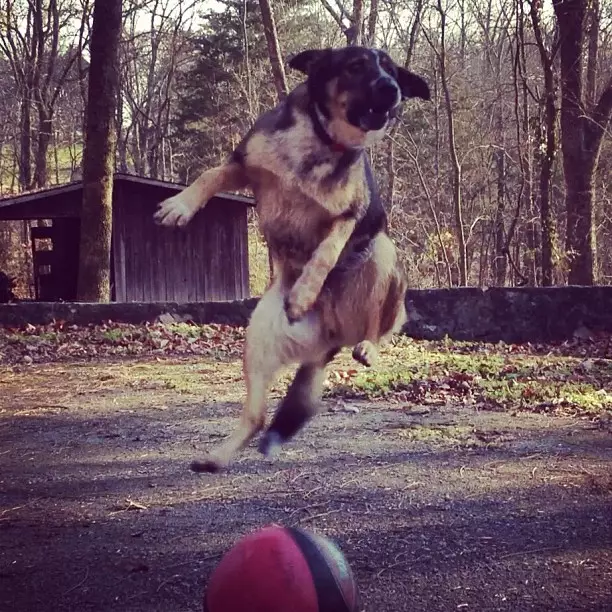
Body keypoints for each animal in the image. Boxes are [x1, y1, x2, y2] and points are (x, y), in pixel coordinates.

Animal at [153, 46, 430, 474]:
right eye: (356, 65)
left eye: (392, 70)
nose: (393, 89)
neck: (322, 139)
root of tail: (330, 339)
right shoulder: (242, 165)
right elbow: (209, 175)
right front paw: (181, 206)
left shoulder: (350, 217)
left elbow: (327, 251)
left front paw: (303, 294)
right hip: (256, 340)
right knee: (257, 417)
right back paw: (216, 458)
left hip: (383, 254)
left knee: (382, 325)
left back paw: (367, 345)